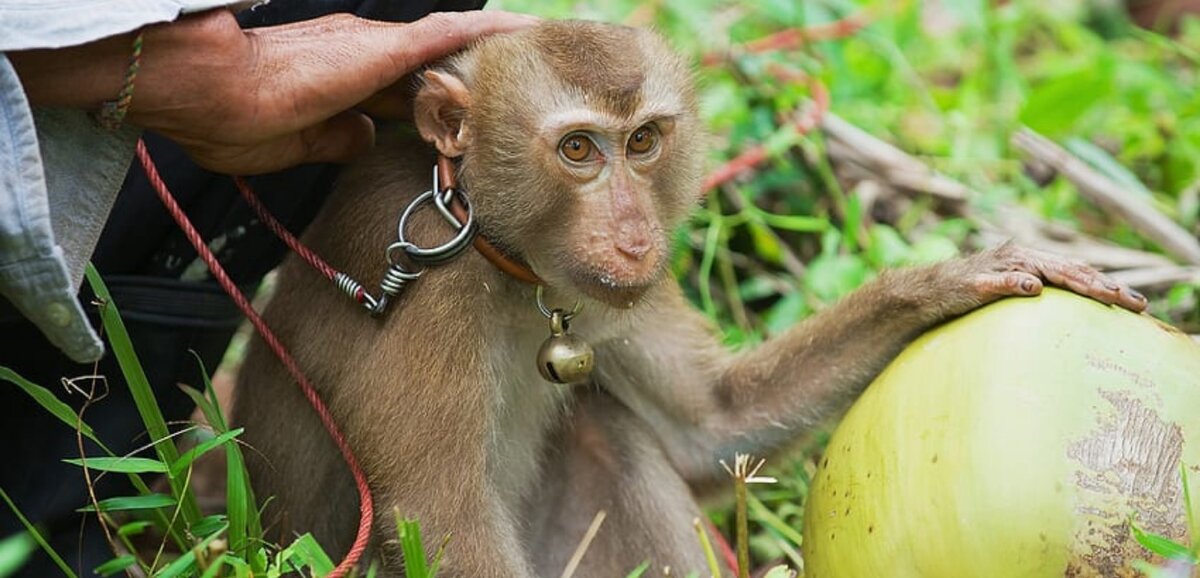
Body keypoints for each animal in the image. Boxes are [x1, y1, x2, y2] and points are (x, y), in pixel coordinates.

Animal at [231, 18, 1142, 578]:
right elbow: (441, 519)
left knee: (608, 433)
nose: (637, 236)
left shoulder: (606, 294)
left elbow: (711, 426)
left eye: (643, 142)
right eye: (577, 149)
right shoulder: (429, 292)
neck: (498, 256)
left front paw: (947, 281)